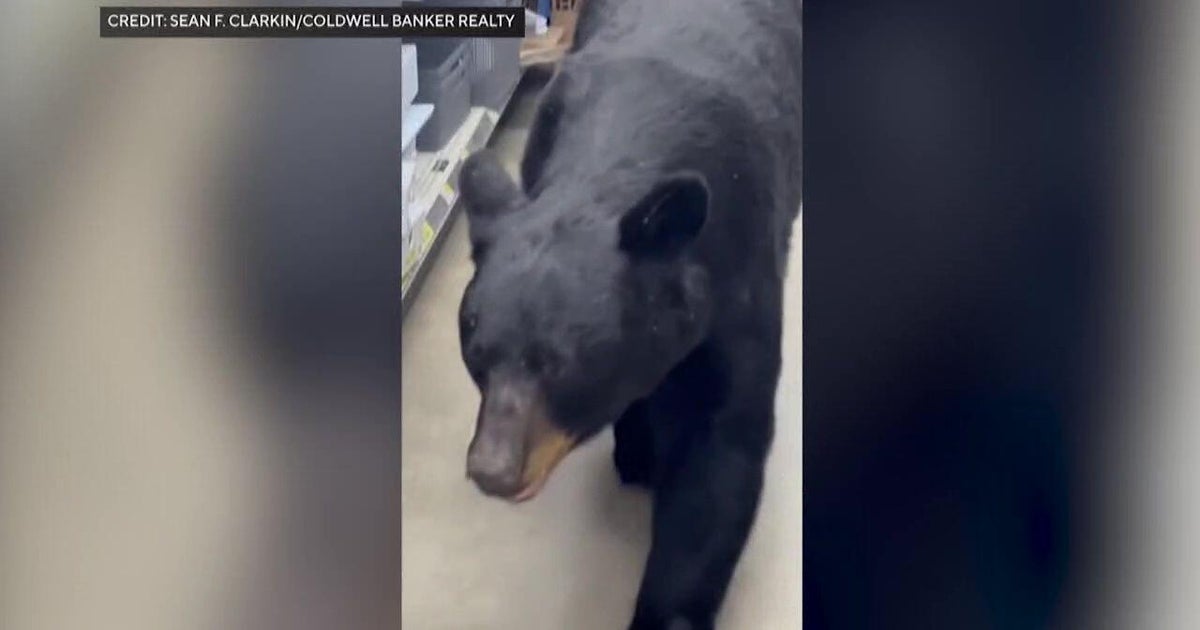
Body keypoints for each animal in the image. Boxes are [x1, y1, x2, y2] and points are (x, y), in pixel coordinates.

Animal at [455, 1, 802, 628]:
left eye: (559, 364)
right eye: (476, 354)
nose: (492, 471)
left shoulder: (740, 274)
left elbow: (719, 460)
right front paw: (637, 442)